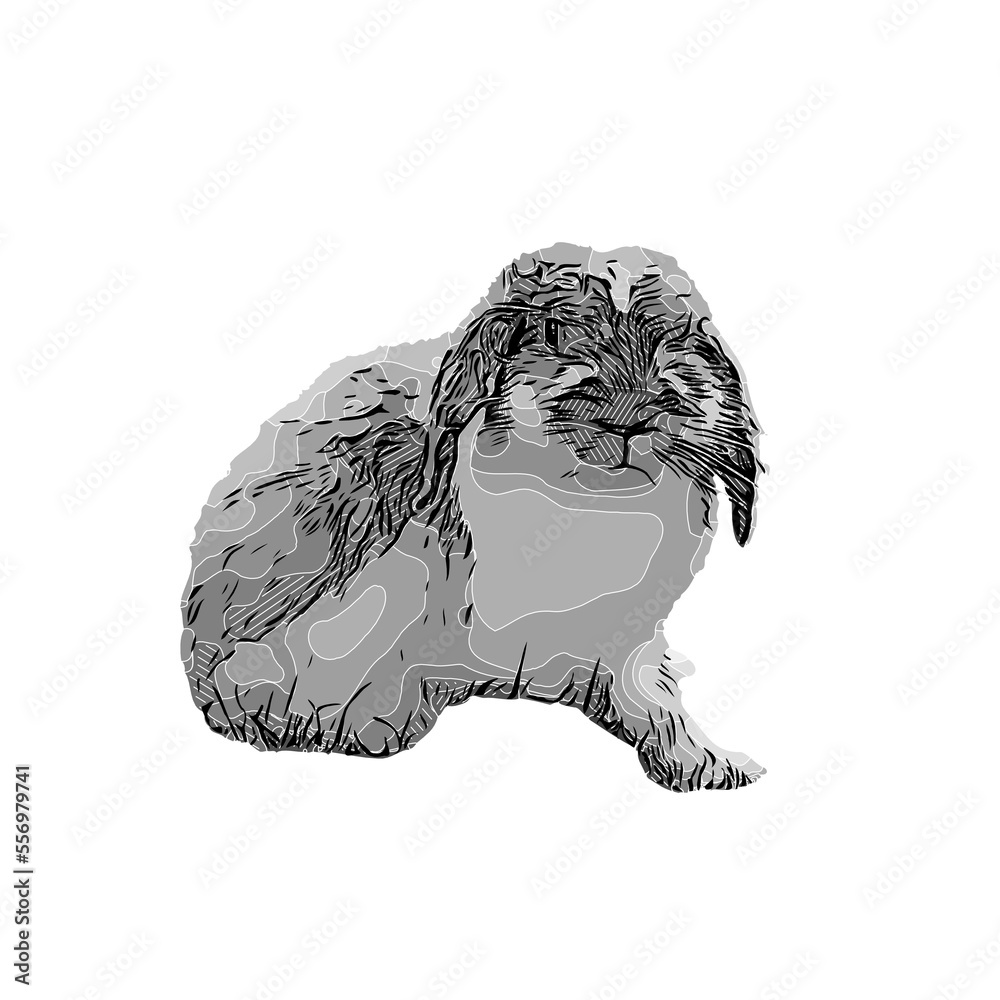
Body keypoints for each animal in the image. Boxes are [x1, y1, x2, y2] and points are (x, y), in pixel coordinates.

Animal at [180, 243, 765, 791]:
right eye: (551, 332)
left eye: (677, 345)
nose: (632, 416)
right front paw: (352, 729)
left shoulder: (626, 651)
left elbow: (656, 705)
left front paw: (712, 766)